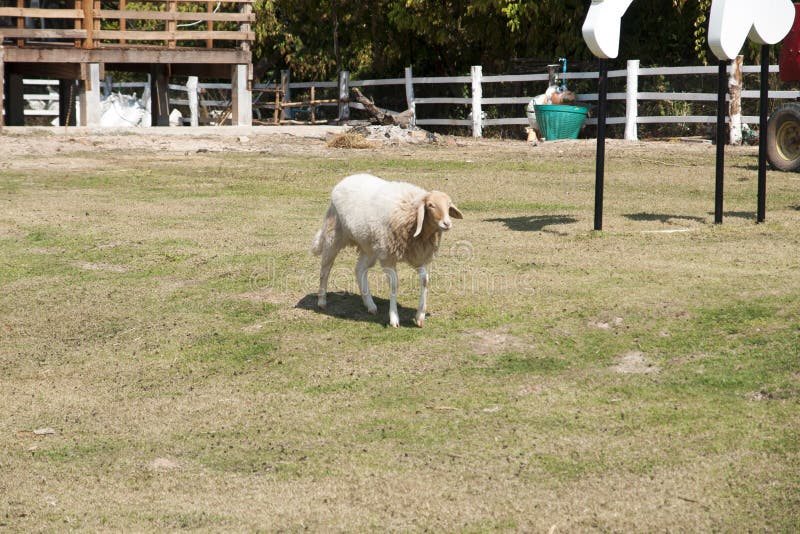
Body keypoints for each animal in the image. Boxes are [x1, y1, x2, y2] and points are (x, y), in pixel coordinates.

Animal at [311, 173, 463, 328]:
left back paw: (370, 305)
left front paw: (420, 316)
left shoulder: (416, 255)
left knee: (359, 269)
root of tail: (347, 178)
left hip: (370, 247)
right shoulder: (388, 257)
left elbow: (425, 280)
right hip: (334, 236)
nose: (447, 223)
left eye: (449, 205)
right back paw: (322, 301)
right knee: (325, 269)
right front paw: (394, 318)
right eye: (430, 205)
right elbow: (394, 284)